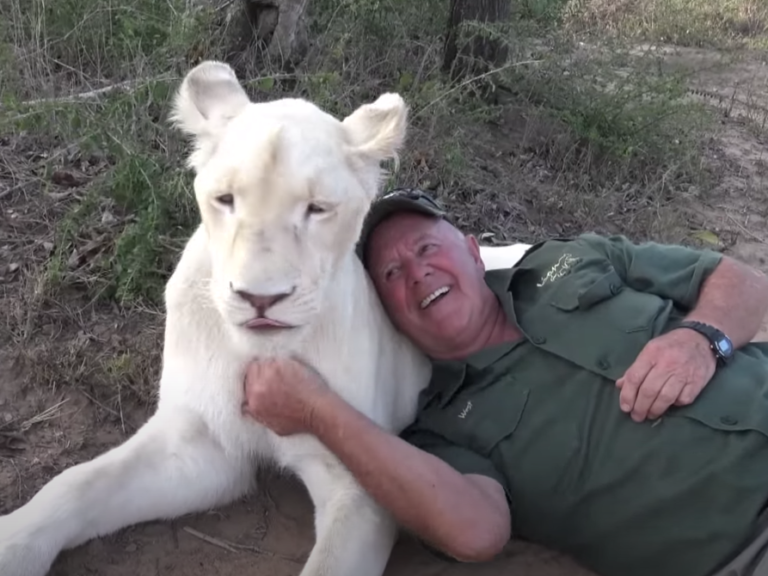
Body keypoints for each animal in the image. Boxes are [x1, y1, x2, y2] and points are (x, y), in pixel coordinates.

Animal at [0, 60, 532, 576]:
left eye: (317, 209)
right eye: (225, 200)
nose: (260, 299)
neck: (258, 355)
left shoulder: (361, 484)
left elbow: (329, 565)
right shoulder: (201, 446)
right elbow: (75, 484)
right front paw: (10, 544)